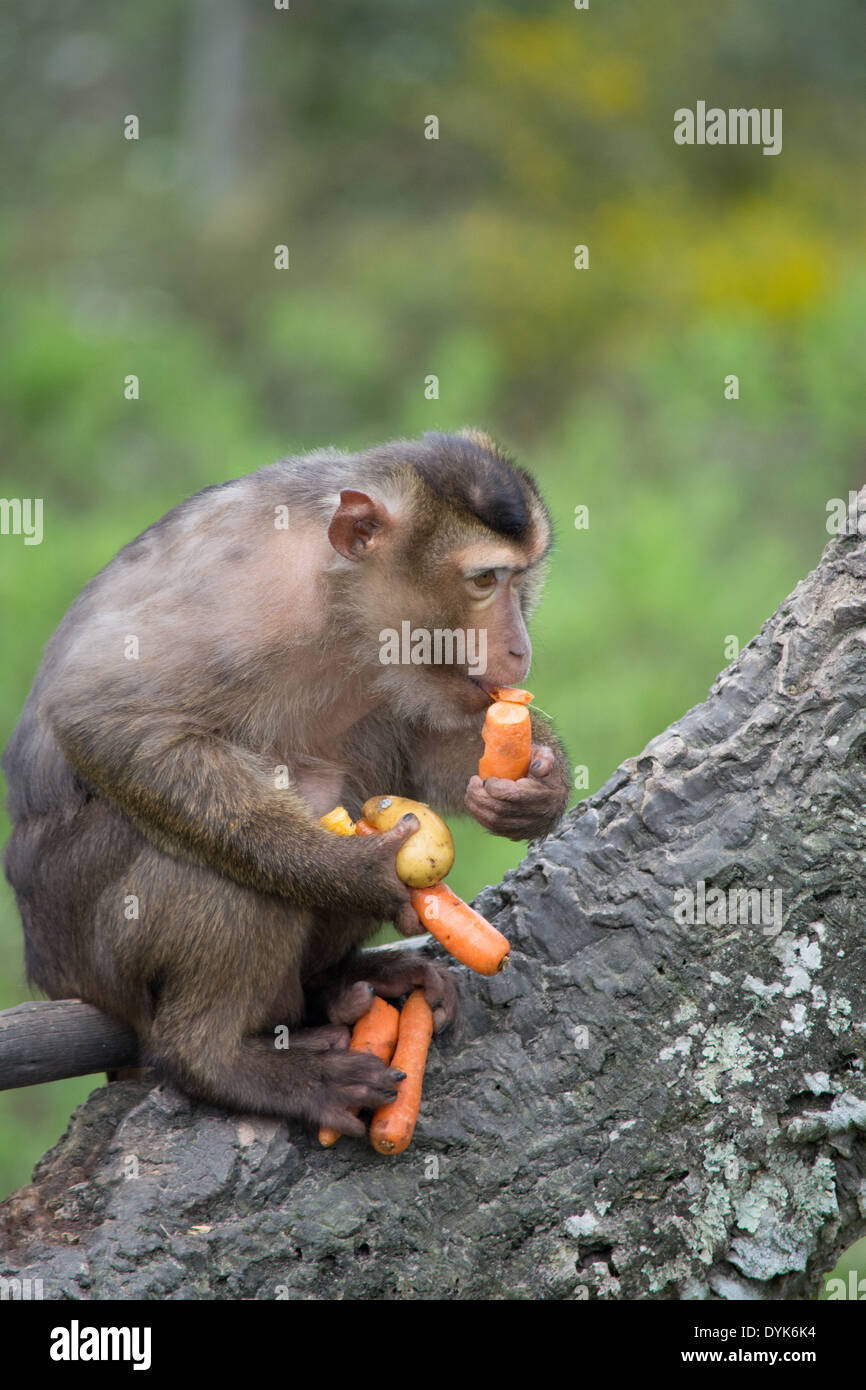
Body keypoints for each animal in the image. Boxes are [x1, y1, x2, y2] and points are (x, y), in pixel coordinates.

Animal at [3, 430, 570, 1138]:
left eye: (523, 579)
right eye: (485, 580)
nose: (520, 649)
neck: (339, 600)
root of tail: (49, 969)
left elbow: (431, 738)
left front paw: (538, 790)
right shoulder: (235, 600)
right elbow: (104, 716)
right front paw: (344, 869)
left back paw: (337, 986)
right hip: (94, 949)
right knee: (228, 867)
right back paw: (224, 1061)